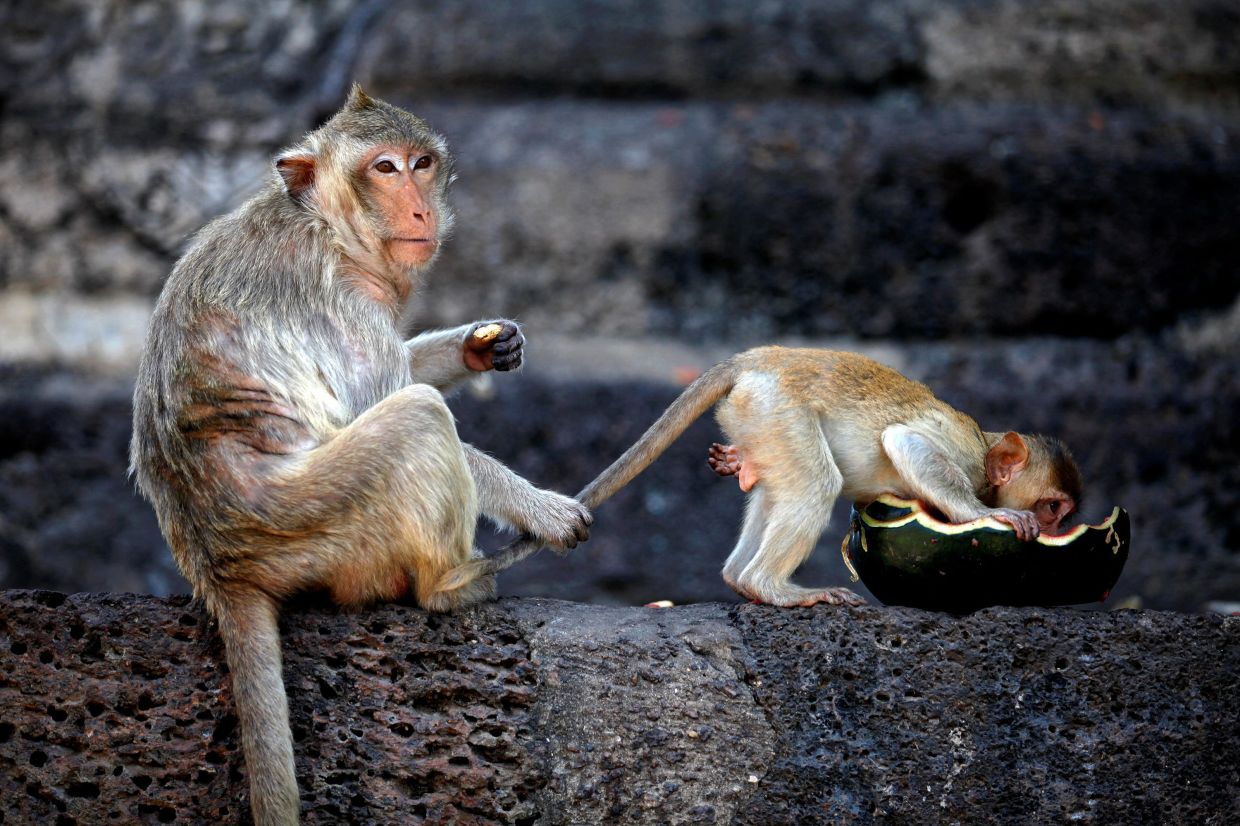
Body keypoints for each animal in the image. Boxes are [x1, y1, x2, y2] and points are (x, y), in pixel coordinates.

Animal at [129, 86, 591, 826]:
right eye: (384, 168)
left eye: (421, 164)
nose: (421, 208)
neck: (325, 226)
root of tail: (217, 568)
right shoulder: (340, 301)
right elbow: (382, 398)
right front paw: (543, 509)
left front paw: (482, 345)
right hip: (318, 526)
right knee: (416, 418)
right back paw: (449, 586)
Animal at [443, 346, 1082, 610]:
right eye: (1053, 509)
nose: (1057, 529)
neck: (985, 449)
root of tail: (756, 360)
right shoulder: (957, 451)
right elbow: (907, 443)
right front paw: (987, 515)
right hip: (778, 410)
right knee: (815, 482)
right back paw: (768, 586)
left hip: (757, 421)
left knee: (782, 484)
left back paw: (740, 577)